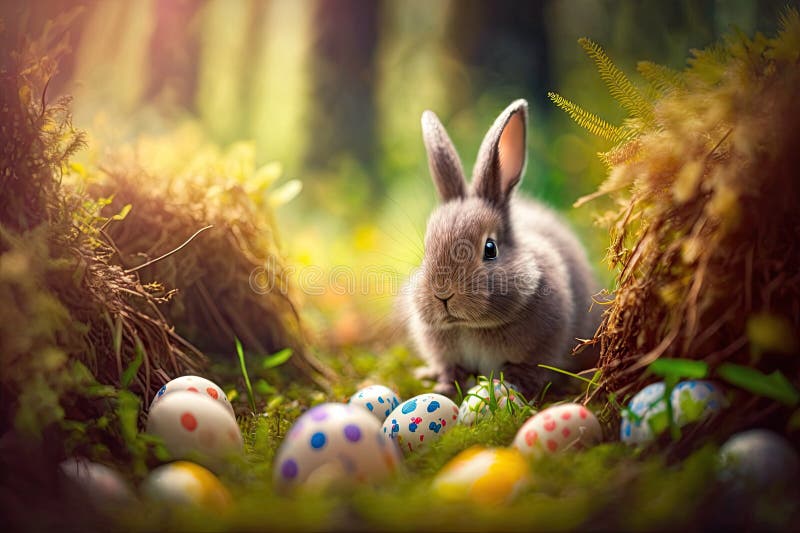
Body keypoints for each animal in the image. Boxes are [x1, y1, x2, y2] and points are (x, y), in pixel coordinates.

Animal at [402, 99, 601, 399]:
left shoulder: (540, 350)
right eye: (427, 249)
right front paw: (444, 388)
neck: (470, 326)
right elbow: (451, 370)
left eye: (490, 248)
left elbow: (526, 372)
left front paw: (505, 390)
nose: (443, 293)